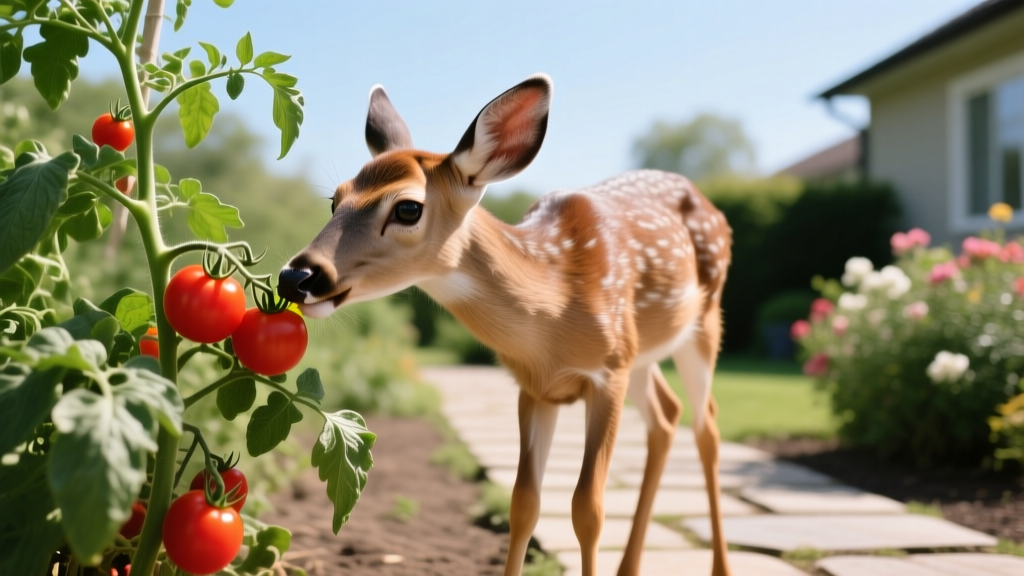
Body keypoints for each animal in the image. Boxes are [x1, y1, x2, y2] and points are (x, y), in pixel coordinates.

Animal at [277, 74, 733, 576]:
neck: (557, 308)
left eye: (408, 209)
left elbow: (588, 509)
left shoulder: (607, 373)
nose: (295, 277)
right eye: (334, 199)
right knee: (667, 416)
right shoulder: (534, 384)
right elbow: (523, 504)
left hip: (702, 324)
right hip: (642, 354)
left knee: (707, 428)